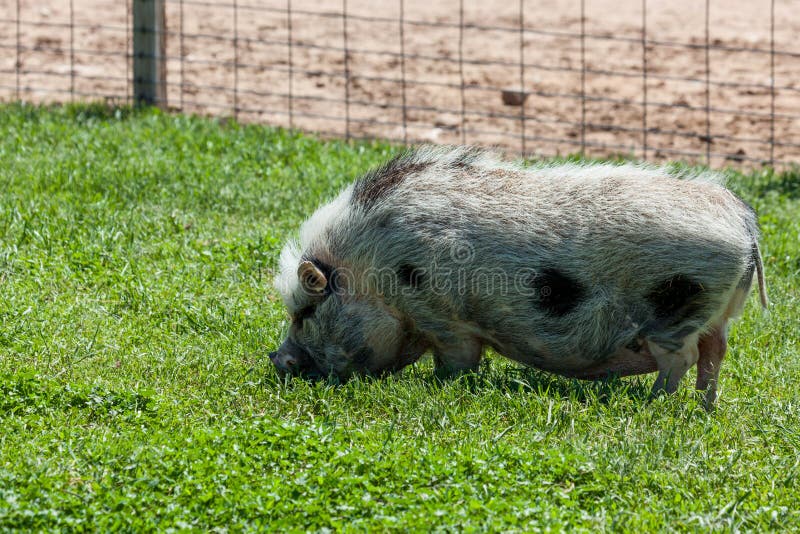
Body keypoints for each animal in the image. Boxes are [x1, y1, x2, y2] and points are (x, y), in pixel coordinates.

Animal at [270, 146, 767, 407]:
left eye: (305, 312)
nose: (277, 360)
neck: (374, 271)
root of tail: (743, 221)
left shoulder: (443, 317)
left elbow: (457, 359)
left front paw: (442, 385)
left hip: (676, 311)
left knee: (682, 358)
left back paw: (653, 402)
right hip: (719, 315)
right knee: (715, 353)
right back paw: (703, 405)